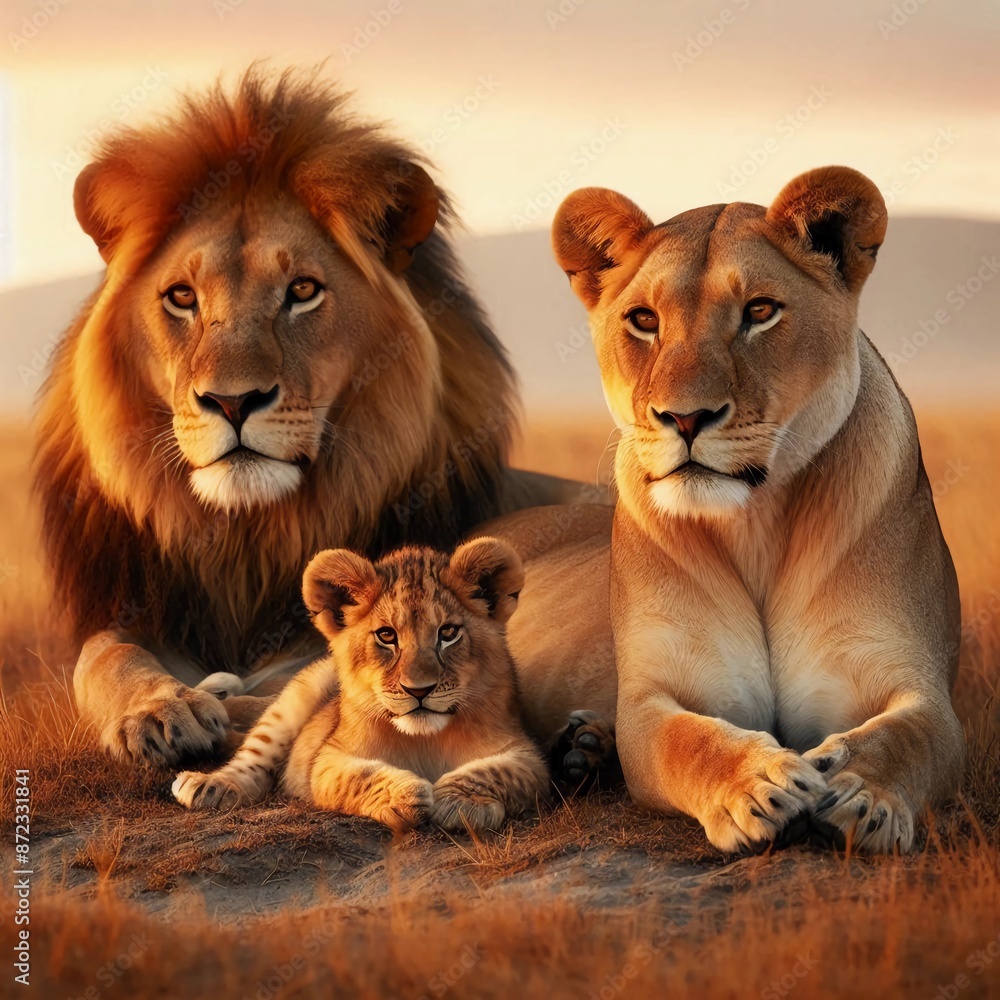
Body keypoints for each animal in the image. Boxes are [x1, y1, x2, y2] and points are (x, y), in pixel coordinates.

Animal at [35, 68, 594, 769]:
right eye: (182, 297)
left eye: (302, 291)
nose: (232, 402)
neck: (249, 540)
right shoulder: (141, 613)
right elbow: (104, 655)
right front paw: (158, 710)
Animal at [172, 538, 550, 832]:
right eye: (386, 636)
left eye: (448, 633)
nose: (419, 691)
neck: (425, 739)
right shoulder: (329, 756)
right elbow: (358, 777)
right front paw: (406, 795)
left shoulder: (527, 754)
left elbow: (494, 772)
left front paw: (458, 801)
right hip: (299, 694)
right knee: (252, 761)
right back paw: (208, 786)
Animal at [541, 166, 964, 854]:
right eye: (644, 320)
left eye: (759, 311)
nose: (685, 417)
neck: (754, 523)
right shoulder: (654, 696)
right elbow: (686, 740)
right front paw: (760, 784)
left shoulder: (913, 680)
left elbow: (912, 736)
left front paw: (860, 791)